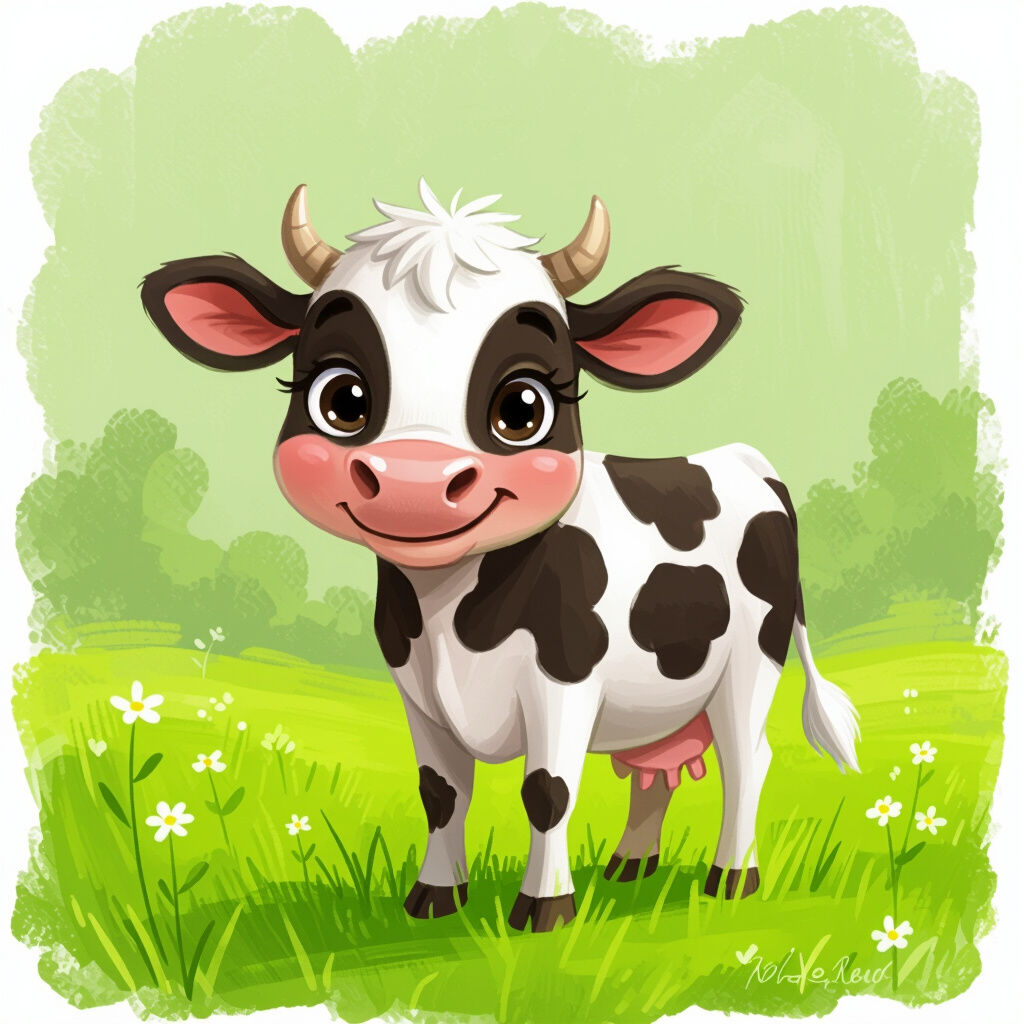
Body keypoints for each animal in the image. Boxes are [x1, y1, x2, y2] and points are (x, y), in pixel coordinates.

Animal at [141, 180, 860, 933]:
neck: (450, 616)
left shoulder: (565, 681)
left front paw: (546, 907)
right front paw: (435, 895)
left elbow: (549, 791)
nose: (414, 482)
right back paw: (632, 864)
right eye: (341, 396)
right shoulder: (417, 692)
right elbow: (440, 793)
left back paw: (732, 877)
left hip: (752, 660)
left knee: (748, 758)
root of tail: (742, 460)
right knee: (654, 767)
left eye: (523, 406)